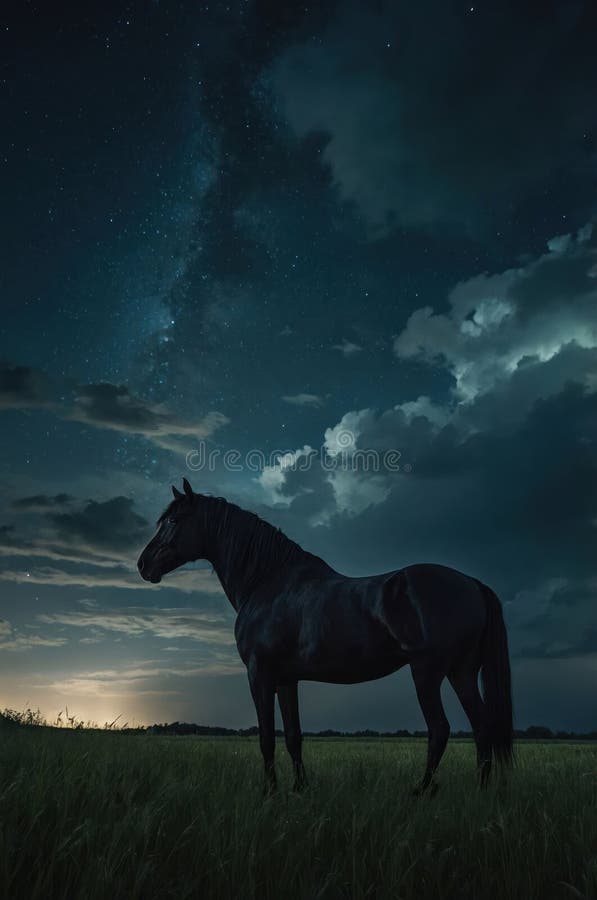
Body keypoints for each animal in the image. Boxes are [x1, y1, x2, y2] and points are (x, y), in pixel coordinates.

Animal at [137, 478, 514, 796]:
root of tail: (472, 584)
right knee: (482, 727)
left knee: (439, 730)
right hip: (461, 673)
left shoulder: (259, 675)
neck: (267, 582)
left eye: (174, 521)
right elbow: (293, 736)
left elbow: (266, 738)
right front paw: (299, 789)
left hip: (427, 673)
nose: (143, 565)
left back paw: (421, 791)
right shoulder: (286, 680)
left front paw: (270, 792)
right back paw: (480, 791)